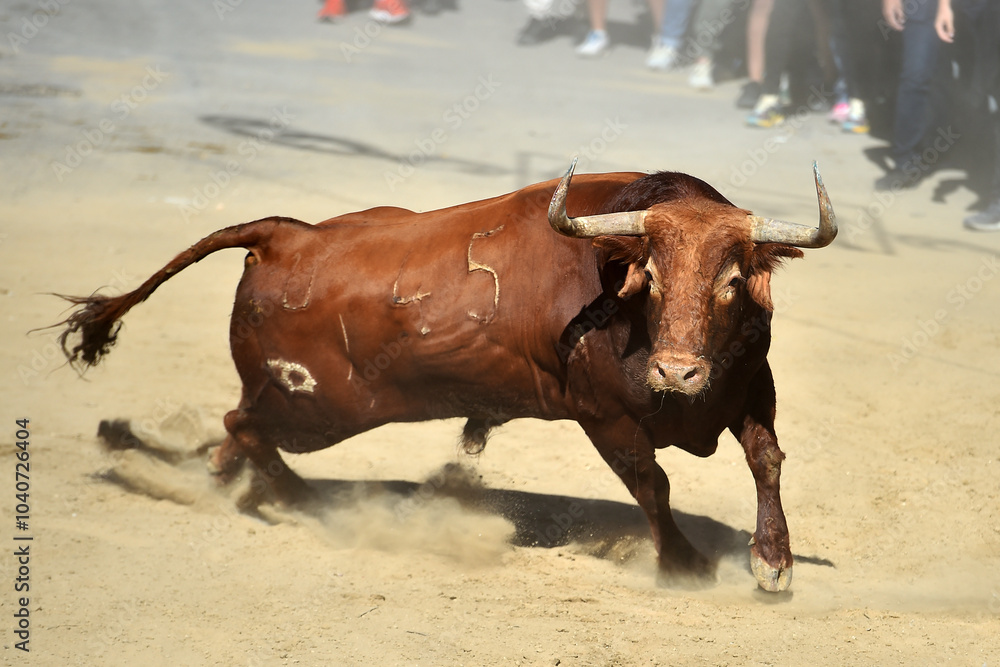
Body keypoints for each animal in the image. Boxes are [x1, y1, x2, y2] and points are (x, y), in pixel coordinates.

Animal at [55, 159, 836, 591]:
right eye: (652, 273)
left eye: (732, 281)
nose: (678, 370)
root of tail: (285, 235)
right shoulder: (604, 417)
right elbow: (653, 482)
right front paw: (683, 565)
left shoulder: (750, 384)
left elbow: (767, 459)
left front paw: (773, 562)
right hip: (320, 410)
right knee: (242, 423)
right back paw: (308, 502)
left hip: (302, 405)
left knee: (237, 428)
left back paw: (221, 485)